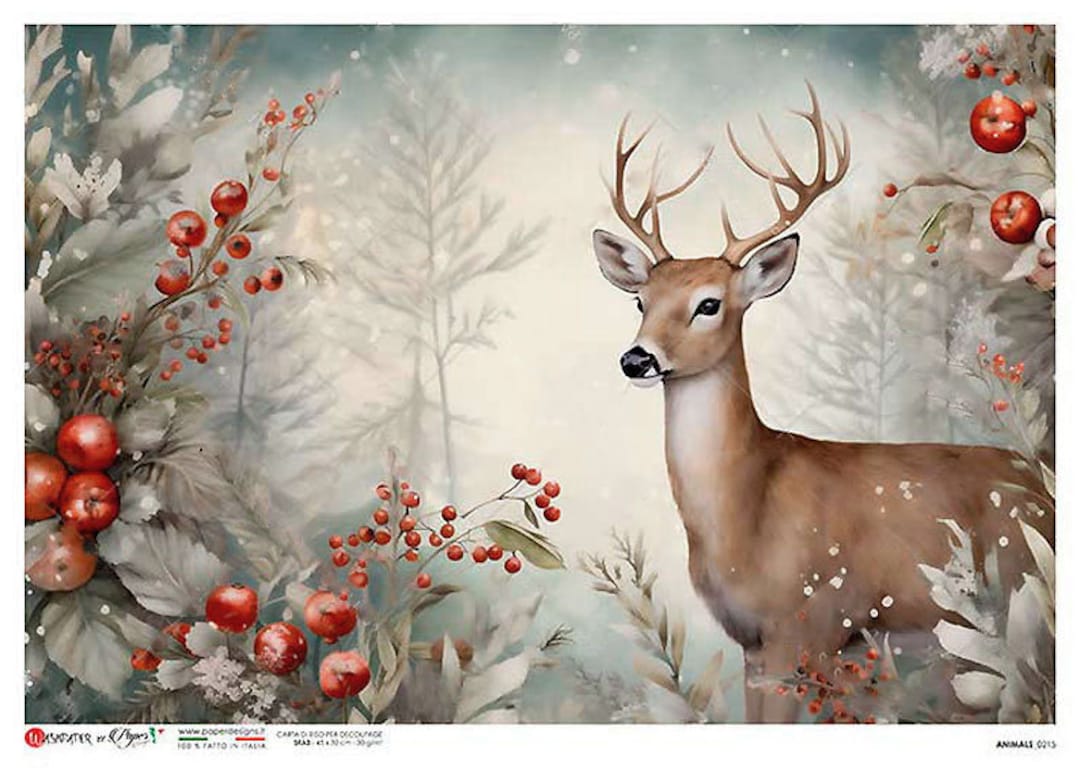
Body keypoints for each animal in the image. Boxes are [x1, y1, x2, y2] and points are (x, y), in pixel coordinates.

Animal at [592, 83, 1054, 723]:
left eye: (709, 304)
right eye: (641, 301)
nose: (637, 359)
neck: (745, 511)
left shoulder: (810, 619)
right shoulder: (754, 642)